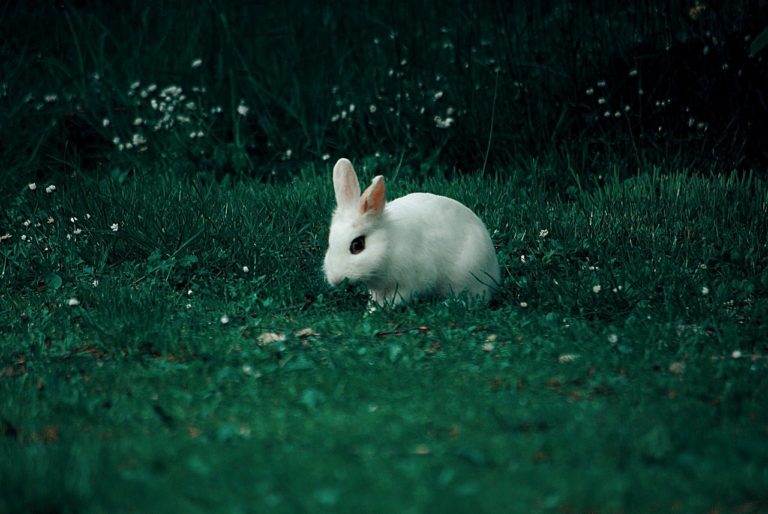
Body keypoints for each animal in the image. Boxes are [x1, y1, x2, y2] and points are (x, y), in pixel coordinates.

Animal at [323, 158, 500, 306]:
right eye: (330, 243)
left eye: (357, 245)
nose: (336, 279)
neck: (389, 244)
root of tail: (494, 270)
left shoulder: (411, 281)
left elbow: (400, 297)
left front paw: (380, 309)